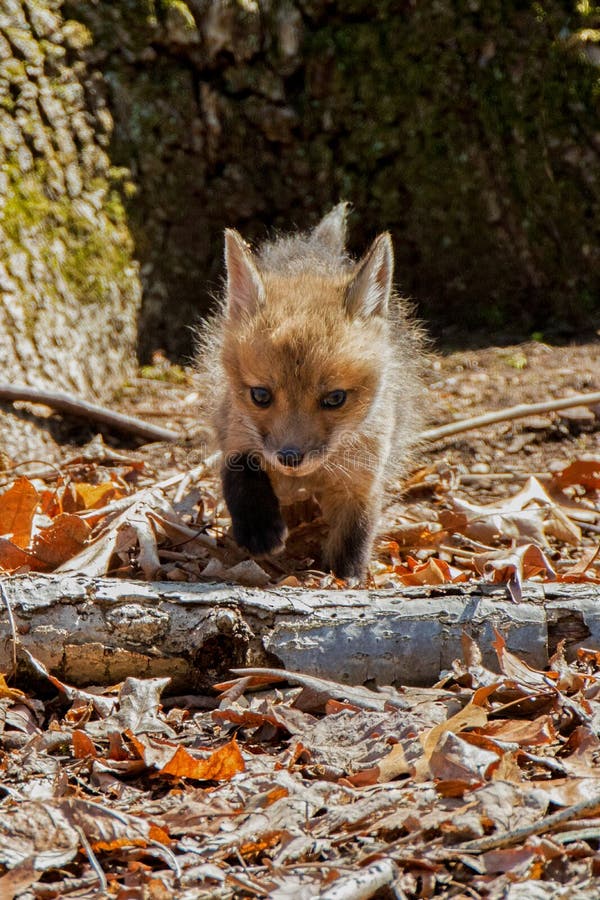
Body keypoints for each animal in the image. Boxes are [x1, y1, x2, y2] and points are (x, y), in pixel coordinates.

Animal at [198, 204, 424, 581]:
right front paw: (259, 530)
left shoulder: (363, 475)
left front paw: (345, 576)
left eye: (335, 399)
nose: (290, 457)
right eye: (260, 396)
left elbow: (356, 530)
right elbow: (240, 474)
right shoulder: (236, 431)